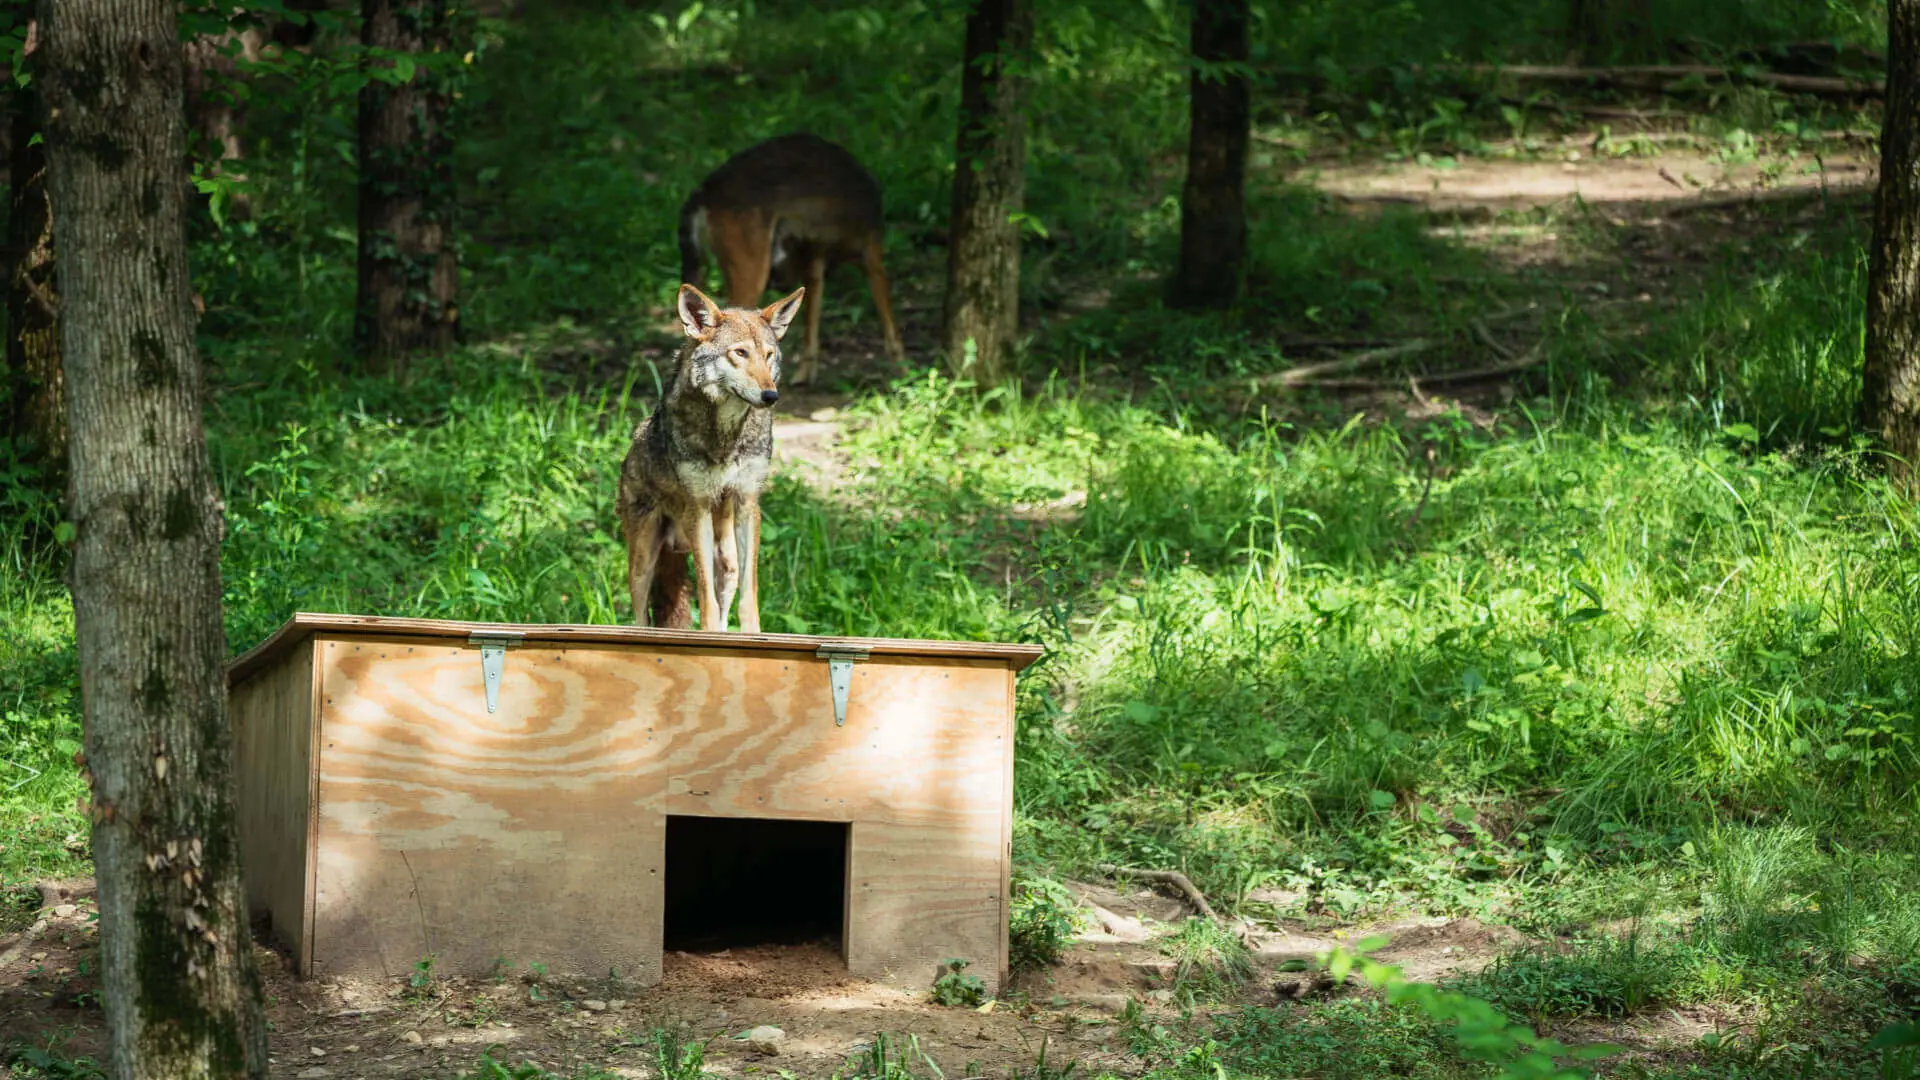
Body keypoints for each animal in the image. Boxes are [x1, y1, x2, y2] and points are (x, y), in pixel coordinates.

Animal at [617, 283, 804, 632]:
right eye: (740, 353)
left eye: (768, 355)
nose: (771, 395)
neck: (727, 436)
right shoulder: (699, 508)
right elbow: (706, 600)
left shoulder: (747, 504)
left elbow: (748, 595)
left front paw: (753, 636)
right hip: (642, 562)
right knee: (641, 618)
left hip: (726, 560)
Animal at [678, 132, 905, 386]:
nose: (779, 283)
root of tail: (704, 190)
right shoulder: (872, 261)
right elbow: (891, 328)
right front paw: (904, 372)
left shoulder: (814, 268)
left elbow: (811, 329)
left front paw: (805, 373)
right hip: (750, 278)